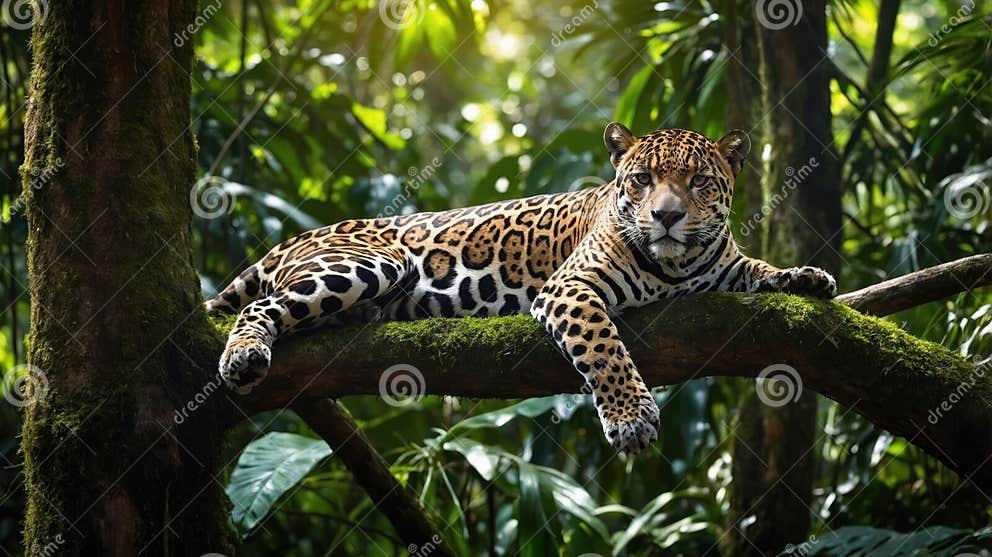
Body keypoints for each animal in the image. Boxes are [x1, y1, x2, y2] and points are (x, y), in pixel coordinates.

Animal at [206, 123, 837, 454]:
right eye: (642, 179)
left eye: (700, 181)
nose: (666, 216)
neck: (678, 267)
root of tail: (299, 236)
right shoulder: (570, 287)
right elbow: (605, 350)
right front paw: (631, 418)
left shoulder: (723, 266)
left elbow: (756, 269)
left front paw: (805, 277)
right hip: (368, 263)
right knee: (261, 305)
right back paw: (244, 355)